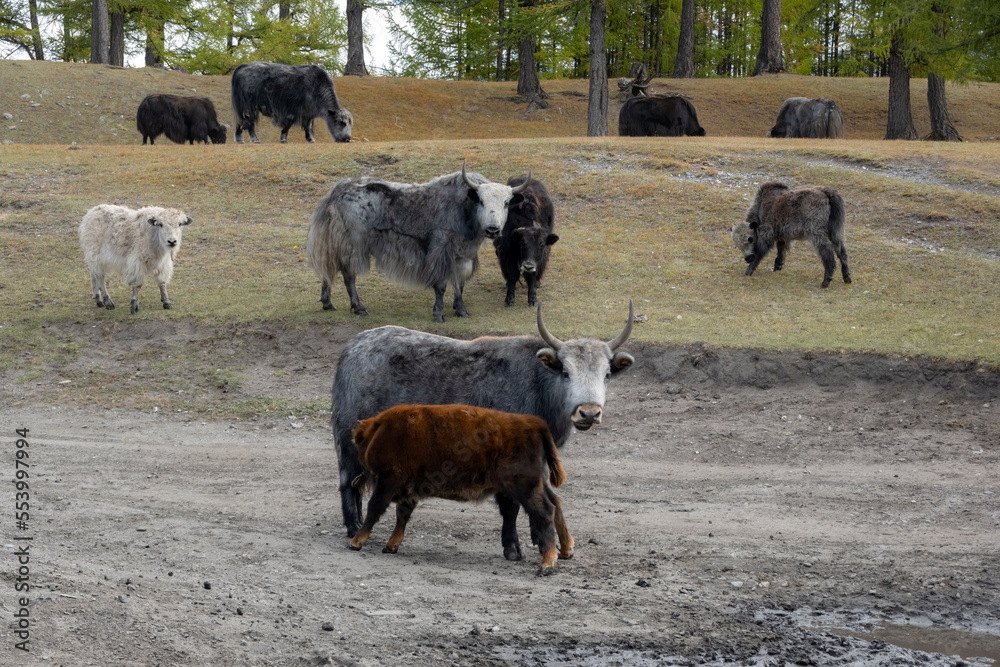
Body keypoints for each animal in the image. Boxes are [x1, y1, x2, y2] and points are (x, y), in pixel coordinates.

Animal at [307, 160, 529, 322]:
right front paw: (439, 314)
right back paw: (359, 307)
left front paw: (461, 310)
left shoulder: (463, 255)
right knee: (348, 274)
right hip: (353, 242)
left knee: (331, 268)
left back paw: (327, 303)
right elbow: (441, 285)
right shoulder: (440, 250)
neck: (466, 209)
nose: (493, 229)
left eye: (506, 203)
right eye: (481, 201)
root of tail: (337, 191)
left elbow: (460, 283)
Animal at [331, 302, 635, 560]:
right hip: (350, 441)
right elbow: (511, 506)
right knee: (348, 481)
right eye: (566, 372)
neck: (538, 385)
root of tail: (352, 347)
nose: (589, 413)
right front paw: (513, 548)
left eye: (607, 374)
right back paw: (354, 526)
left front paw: (541, 540)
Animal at [494, 174, 558, 306]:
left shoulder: (539, 258)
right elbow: (512, 274)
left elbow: (532, 276)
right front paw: (509, 299)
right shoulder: (507, 253)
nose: (528, 266)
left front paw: (532, 299)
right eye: (522, 242)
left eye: (541, 244)